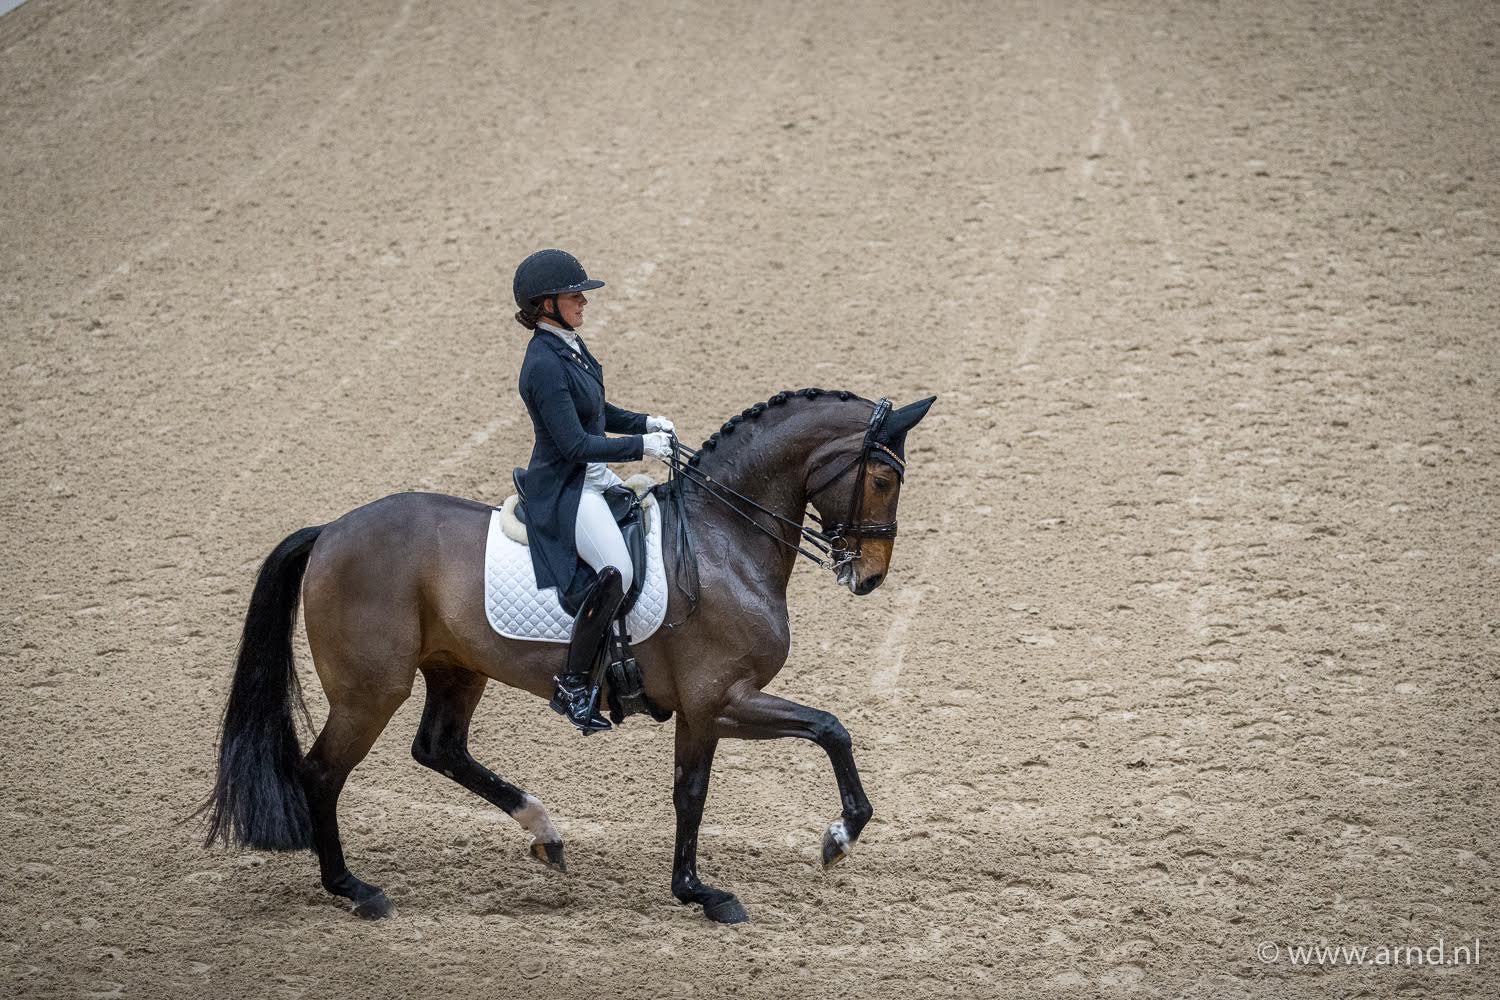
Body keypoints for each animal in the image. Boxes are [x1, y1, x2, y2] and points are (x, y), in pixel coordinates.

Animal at [199, 387, 936, 923]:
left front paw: (707, 886)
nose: (869, 576)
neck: (723, 540)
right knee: (322, 772)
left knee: (439, 748)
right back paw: (355, 889)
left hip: (456, 669)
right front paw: (822, 845)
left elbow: (712, 782)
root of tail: (330, 532)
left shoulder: (712, 709)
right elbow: (810, 739)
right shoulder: (720, 699)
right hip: (371, 690)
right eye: (881, 477)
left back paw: (545, 834)